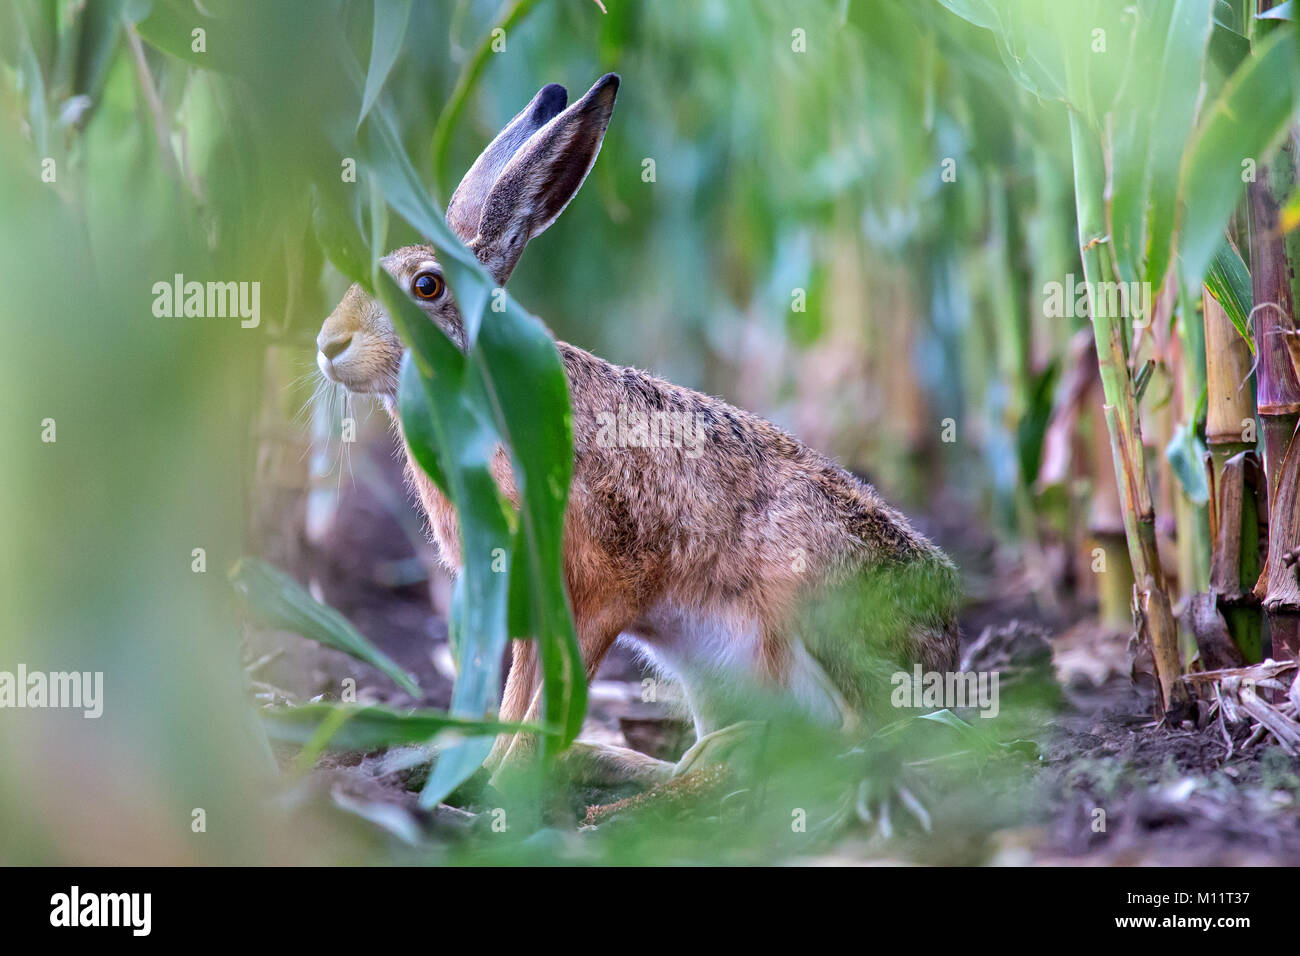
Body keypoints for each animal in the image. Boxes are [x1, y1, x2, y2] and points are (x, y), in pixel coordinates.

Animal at [316, 74, 961, 792]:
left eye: (427, 287)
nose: (329, 343)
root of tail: (946, 648)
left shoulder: (604, 586)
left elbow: (550, 696)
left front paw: (508, 782)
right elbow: (519, 695)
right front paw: (492, 774)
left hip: (813, 595)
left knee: (866, 732)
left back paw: (725, 761)